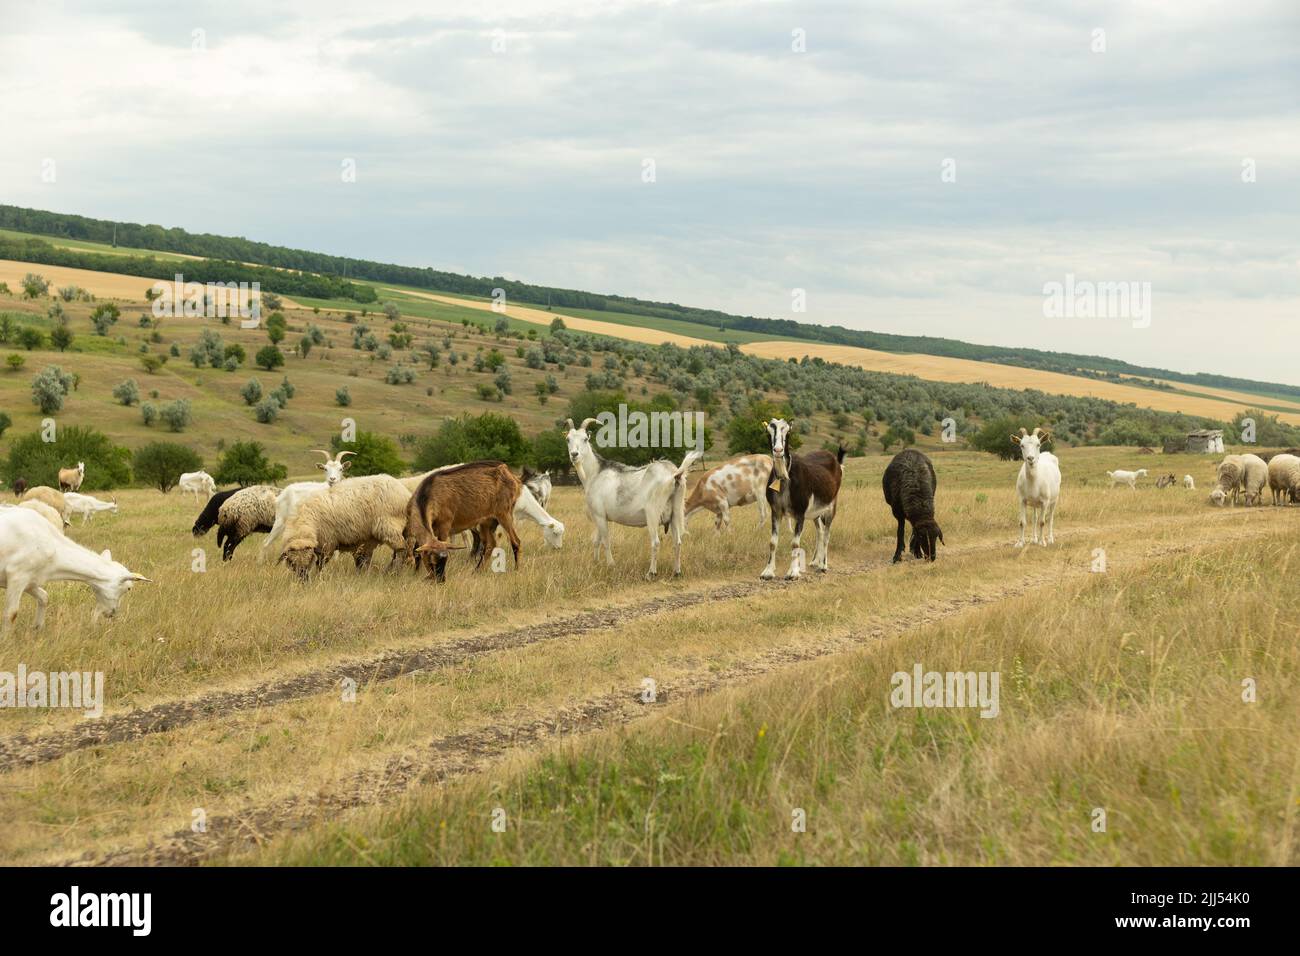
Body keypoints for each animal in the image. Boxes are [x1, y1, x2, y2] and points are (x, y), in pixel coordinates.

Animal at [1, 508, 150, 632]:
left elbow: (44, 597)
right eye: (129, 588)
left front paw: (38, 627)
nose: (112, 613)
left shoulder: (30, 581)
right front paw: (7, 639)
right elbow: (11, 613)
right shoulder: (18, 576)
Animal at [565, 419, 701, 579]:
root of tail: (675, 474)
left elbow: (605, 541)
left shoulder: (599, 515)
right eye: (568, 439)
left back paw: (651, 573)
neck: (595, 474)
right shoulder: (600, 516)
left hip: (652, 513)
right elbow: (596, 541)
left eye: (585, 439)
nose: (574, 454)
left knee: (656, 542)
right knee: (677, 542)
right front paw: (596, 563)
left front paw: (611, 565)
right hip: (675, 512)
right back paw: (677, 571)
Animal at [761, 418, 844, 579]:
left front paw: (793, 572)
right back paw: (815, 561)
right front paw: (767, 571)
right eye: (768, 432)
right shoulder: (776, 510)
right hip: (815, 512)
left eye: (788, 431)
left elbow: (795, 543)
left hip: (831, 505)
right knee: (820, 532)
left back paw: (823, 565)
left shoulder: (800, 511)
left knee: (826, 535)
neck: (785, 477)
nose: (778, 450)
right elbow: (772, 542)